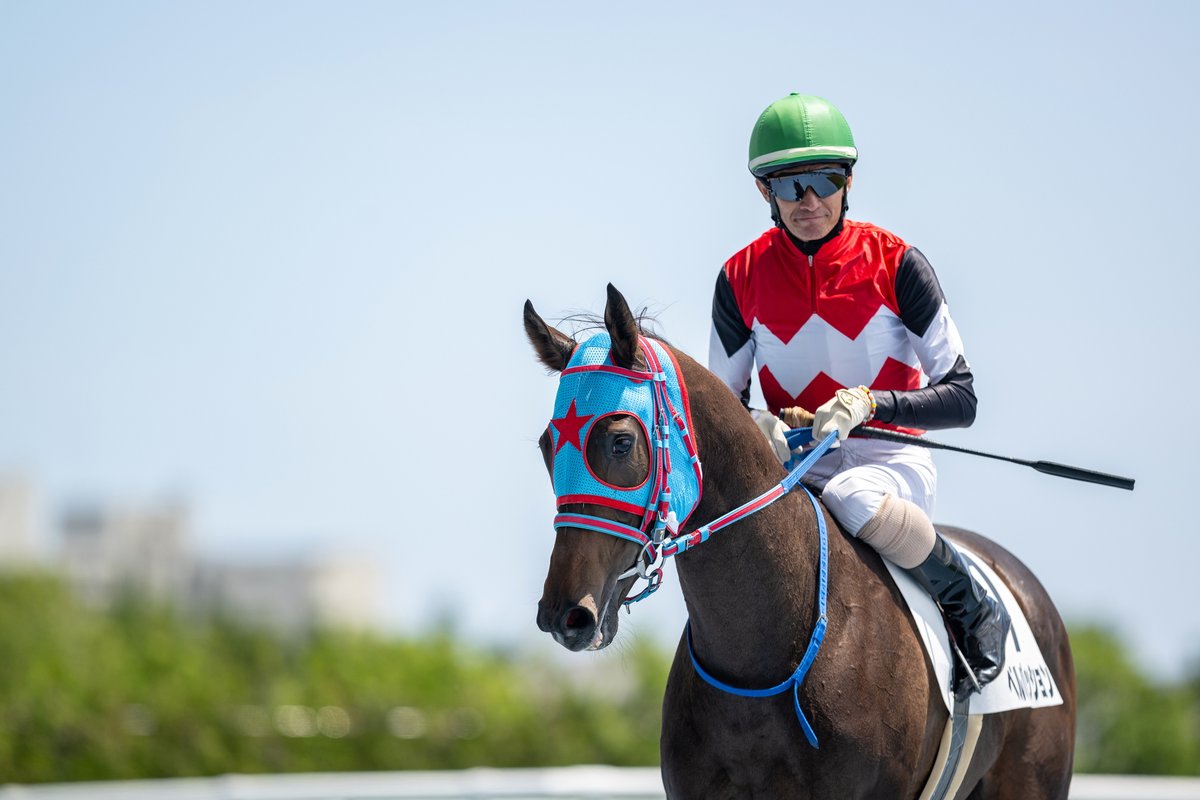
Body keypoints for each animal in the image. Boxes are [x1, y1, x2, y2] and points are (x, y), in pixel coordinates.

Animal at [525, 284, 1076, 799]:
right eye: (548, 446)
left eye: (620, 441)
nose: (565, 614)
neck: (761, 658)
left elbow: (959, 387)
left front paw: (848, 407)